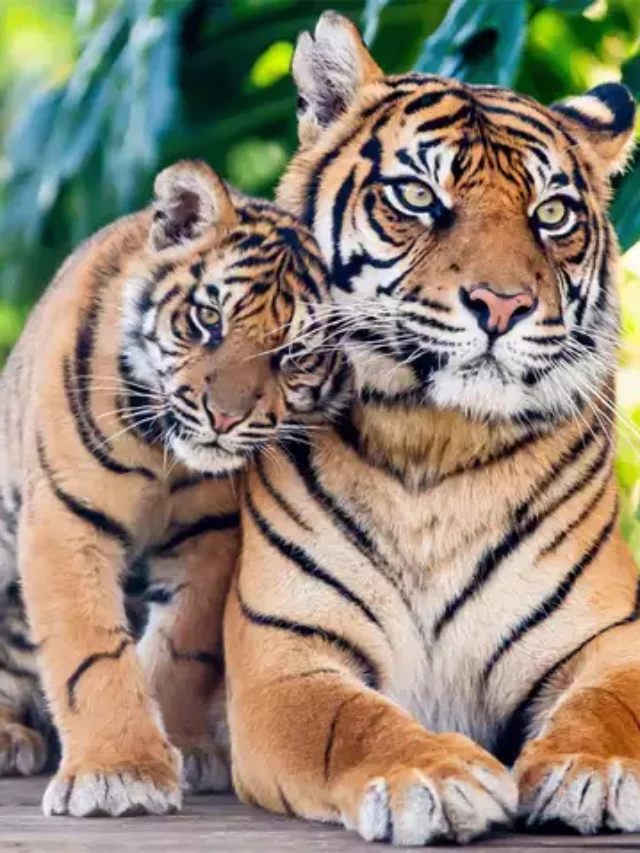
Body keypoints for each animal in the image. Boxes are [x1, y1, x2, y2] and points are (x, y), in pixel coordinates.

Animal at [0, 158, 345, 817]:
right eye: (209, 319)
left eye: (293, 353)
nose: (225, 418)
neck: (164, 451)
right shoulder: (66, 519)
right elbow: (91, 651)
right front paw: (118, 772)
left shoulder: (211, 534)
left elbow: (181, 645)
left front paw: (184, 750)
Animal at [223, 10, 640, 845]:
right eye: (417, 196)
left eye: (552, 214)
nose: (502, 304)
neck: (436, 440)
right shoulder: (285, 658)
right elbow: (349, 721)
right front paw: (435, 776)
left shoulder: (611, 636)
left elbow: (612, 701)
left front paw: (595, 766)